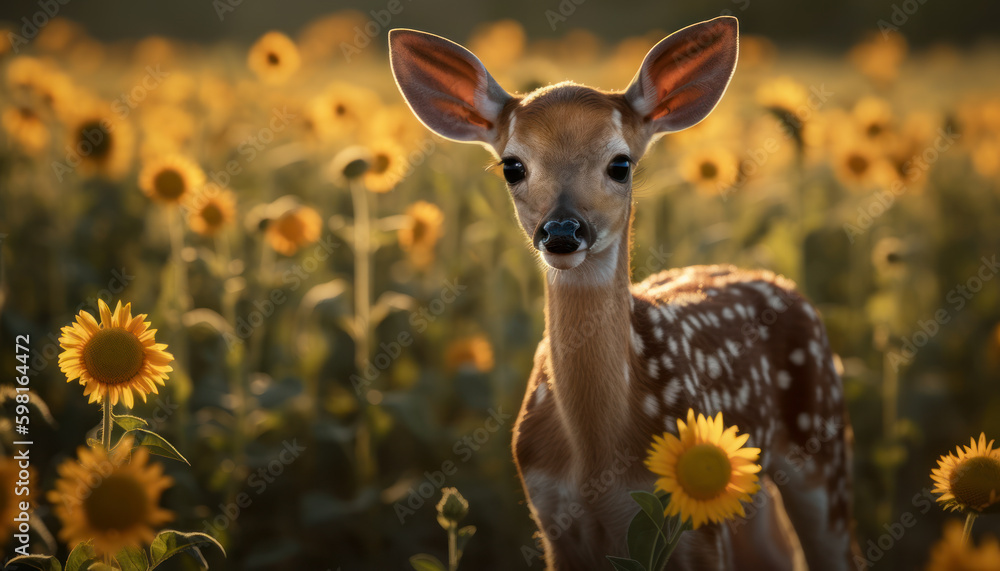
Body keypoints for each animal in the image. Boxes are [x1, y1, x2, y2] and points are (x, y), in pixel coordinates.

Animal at [389, 17, 859, 570]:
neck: (597, 460)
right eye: (512, 166)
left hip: (823, 440)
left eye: (620, 164)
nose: (562, 232)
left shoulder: (691, 526)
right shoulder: (552, 520)